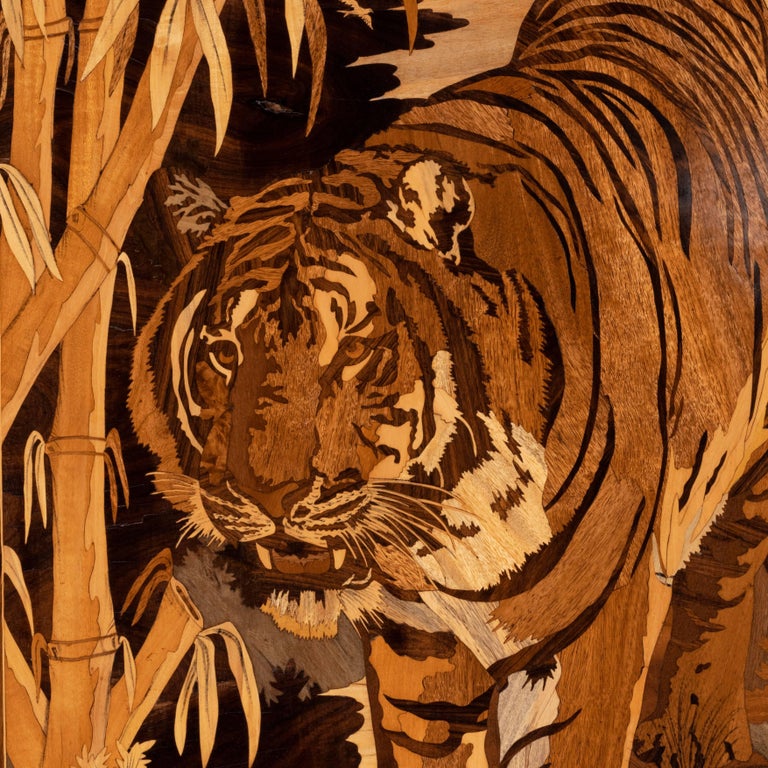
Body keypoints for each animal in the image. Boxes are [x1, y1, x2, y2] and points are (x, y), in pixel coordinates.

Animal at [129, 0, 768, 765]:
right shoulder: (417, 651)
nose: (268, 496)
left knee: (728, 573)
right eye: (224, 352)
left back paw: (701, 738)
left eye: (353, 349)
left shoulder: (591, 635)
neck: (442, 538)